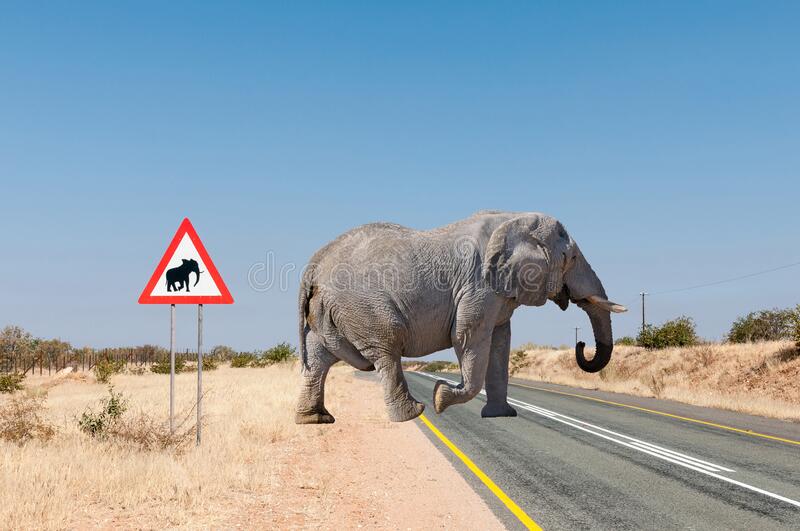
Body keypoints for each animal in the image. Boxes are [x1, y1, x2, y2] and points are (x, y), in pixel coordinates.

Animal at [295, 211, 626, 424]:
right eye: (570, 258)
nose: (581, 345)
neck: (513, 219)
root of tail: (314, 265)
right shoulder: (478, 286)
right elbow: (467, 335)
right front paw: (441, 397)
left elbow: (500, 343)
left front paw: (501, 416)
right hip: (363, 306)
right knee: (386, 348)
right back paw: (413, 413)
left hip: (332, 309)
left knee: (318, 356)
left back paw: (315, 420)